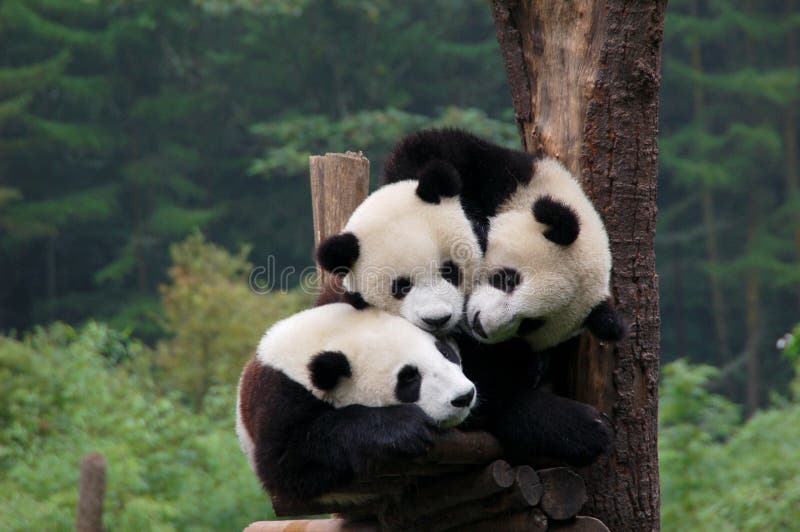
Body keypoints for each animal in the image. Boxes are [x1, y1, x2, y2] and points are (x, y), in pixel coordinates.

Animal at [236, 303, 476, 503]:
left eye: (445, 352)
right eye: (409, 377)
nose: (463, 396)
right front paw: (407, 426)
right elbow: (286, 462)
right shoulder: (281, 396)